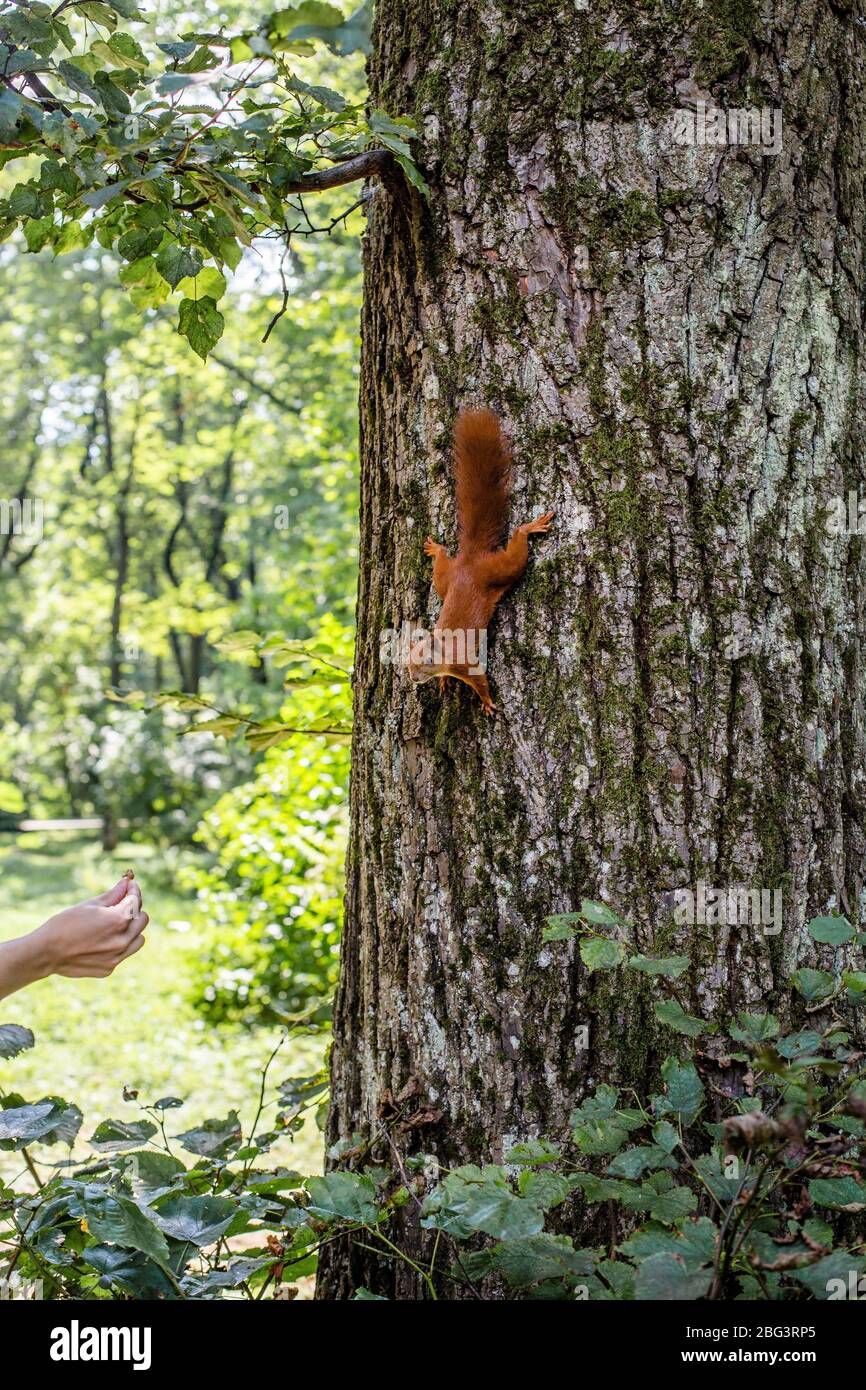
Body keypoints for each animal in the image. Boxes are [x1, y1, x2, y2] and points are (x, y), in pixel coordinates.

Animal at [407, 408, 554, 715]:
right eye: (407, 661)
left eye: (426, 661)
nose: (413, 679)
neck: (445, 653)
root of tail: (471, 559)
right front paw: (444, 683)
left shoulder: (465, 663)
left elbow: (480, 680)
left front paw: (486, 702)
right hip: (446, 580)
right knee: (442, 566)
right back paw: (436, 549)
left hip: (500, 570)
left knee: (517, 549)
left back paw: (530, 527)